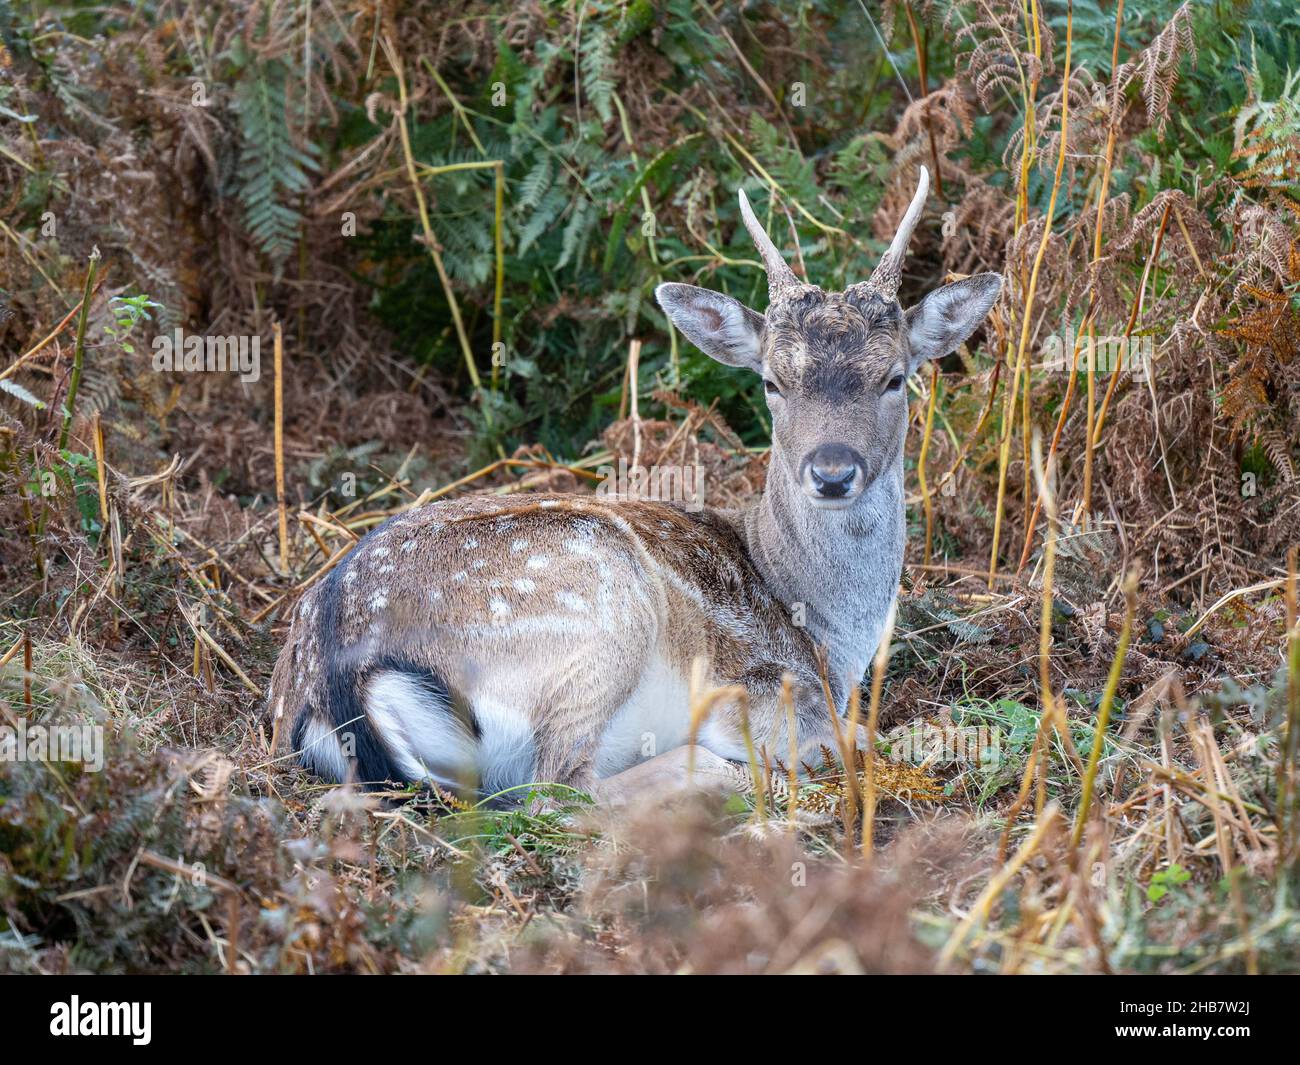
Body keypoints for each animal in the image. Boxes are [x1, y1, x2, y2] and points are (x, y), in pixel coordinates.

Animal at [268, 165, 1002, 804]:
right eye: (772, 381)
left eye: (895, 377)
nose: (831, 470)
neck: (829, 632)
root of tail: (338, 681)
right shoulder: (775, 686)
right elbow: (873, 738)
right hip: (601, 611)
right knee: (561, 789)